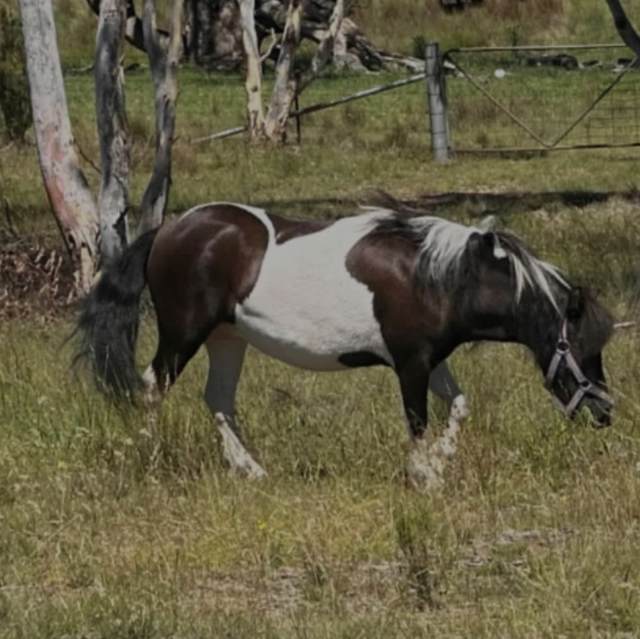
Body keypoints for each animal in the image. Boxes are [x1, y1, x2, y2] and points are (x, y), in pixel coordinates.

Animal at [75, 202, 615, 487]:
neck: (438, 277)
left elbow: (459, 407)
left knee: (219, 401)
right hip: (183, 333)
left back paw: (251, 470)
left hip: (228, 339)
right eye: (583, 348)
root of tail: (170, 228)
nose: (606, 413)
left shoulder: (430, 359)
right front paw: (424, 475)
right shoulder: (410, 363)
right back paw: (151, 461)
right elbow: (418, 421)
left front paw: (439, 464)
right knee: (152, 387)